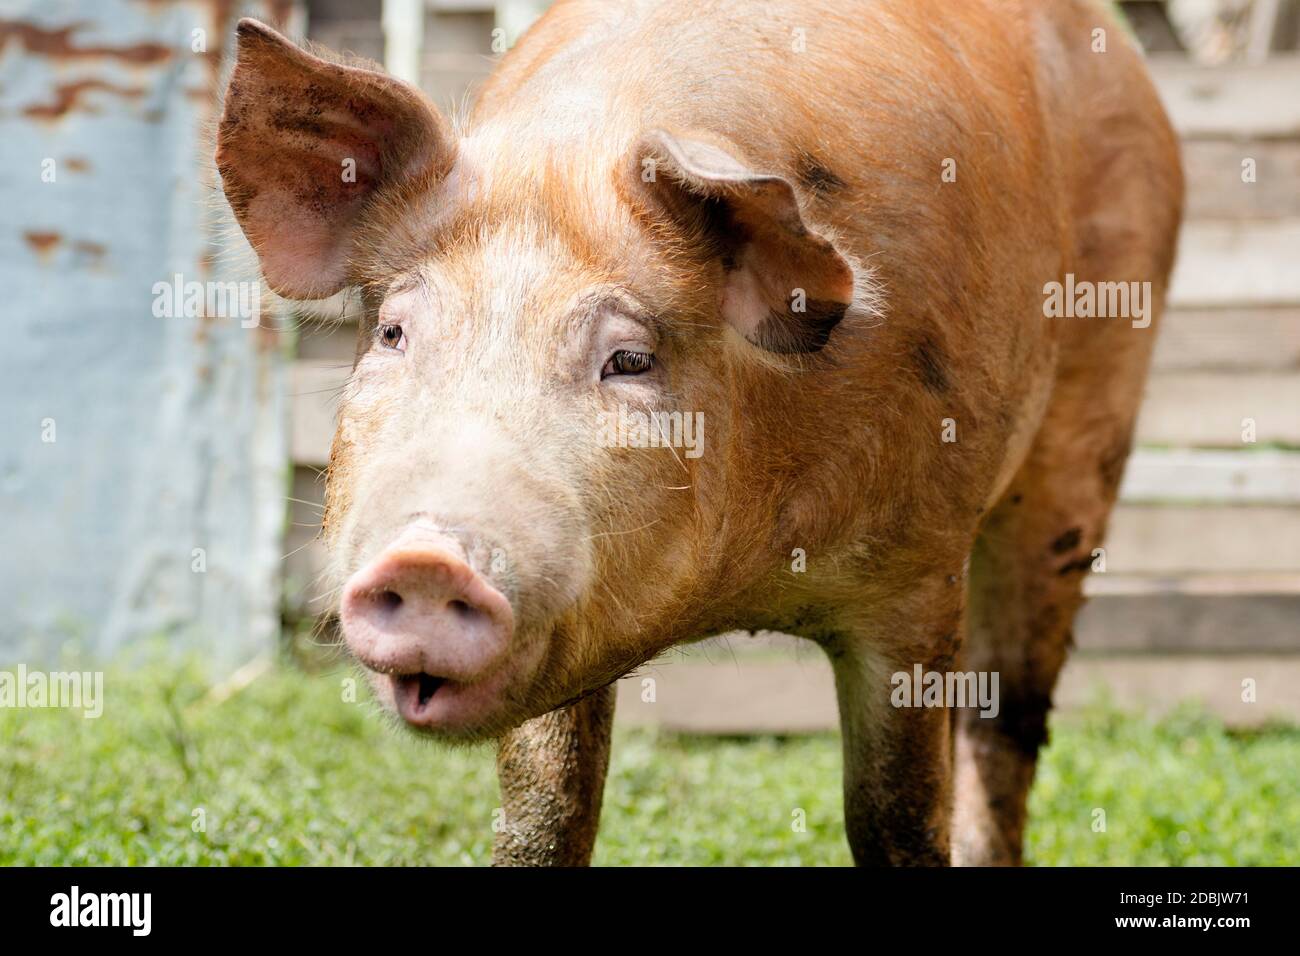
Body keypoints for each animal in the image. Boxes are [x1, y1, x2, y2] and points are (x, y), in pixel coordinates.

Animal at [216, 0, 1182, 865]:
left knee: (1006, 723)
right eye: (392, 333)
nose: (427, 559)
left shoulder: (918, 576)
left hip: (1093, 415)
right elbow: (546, 812)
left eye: (629, 360)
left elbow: (895, 819)